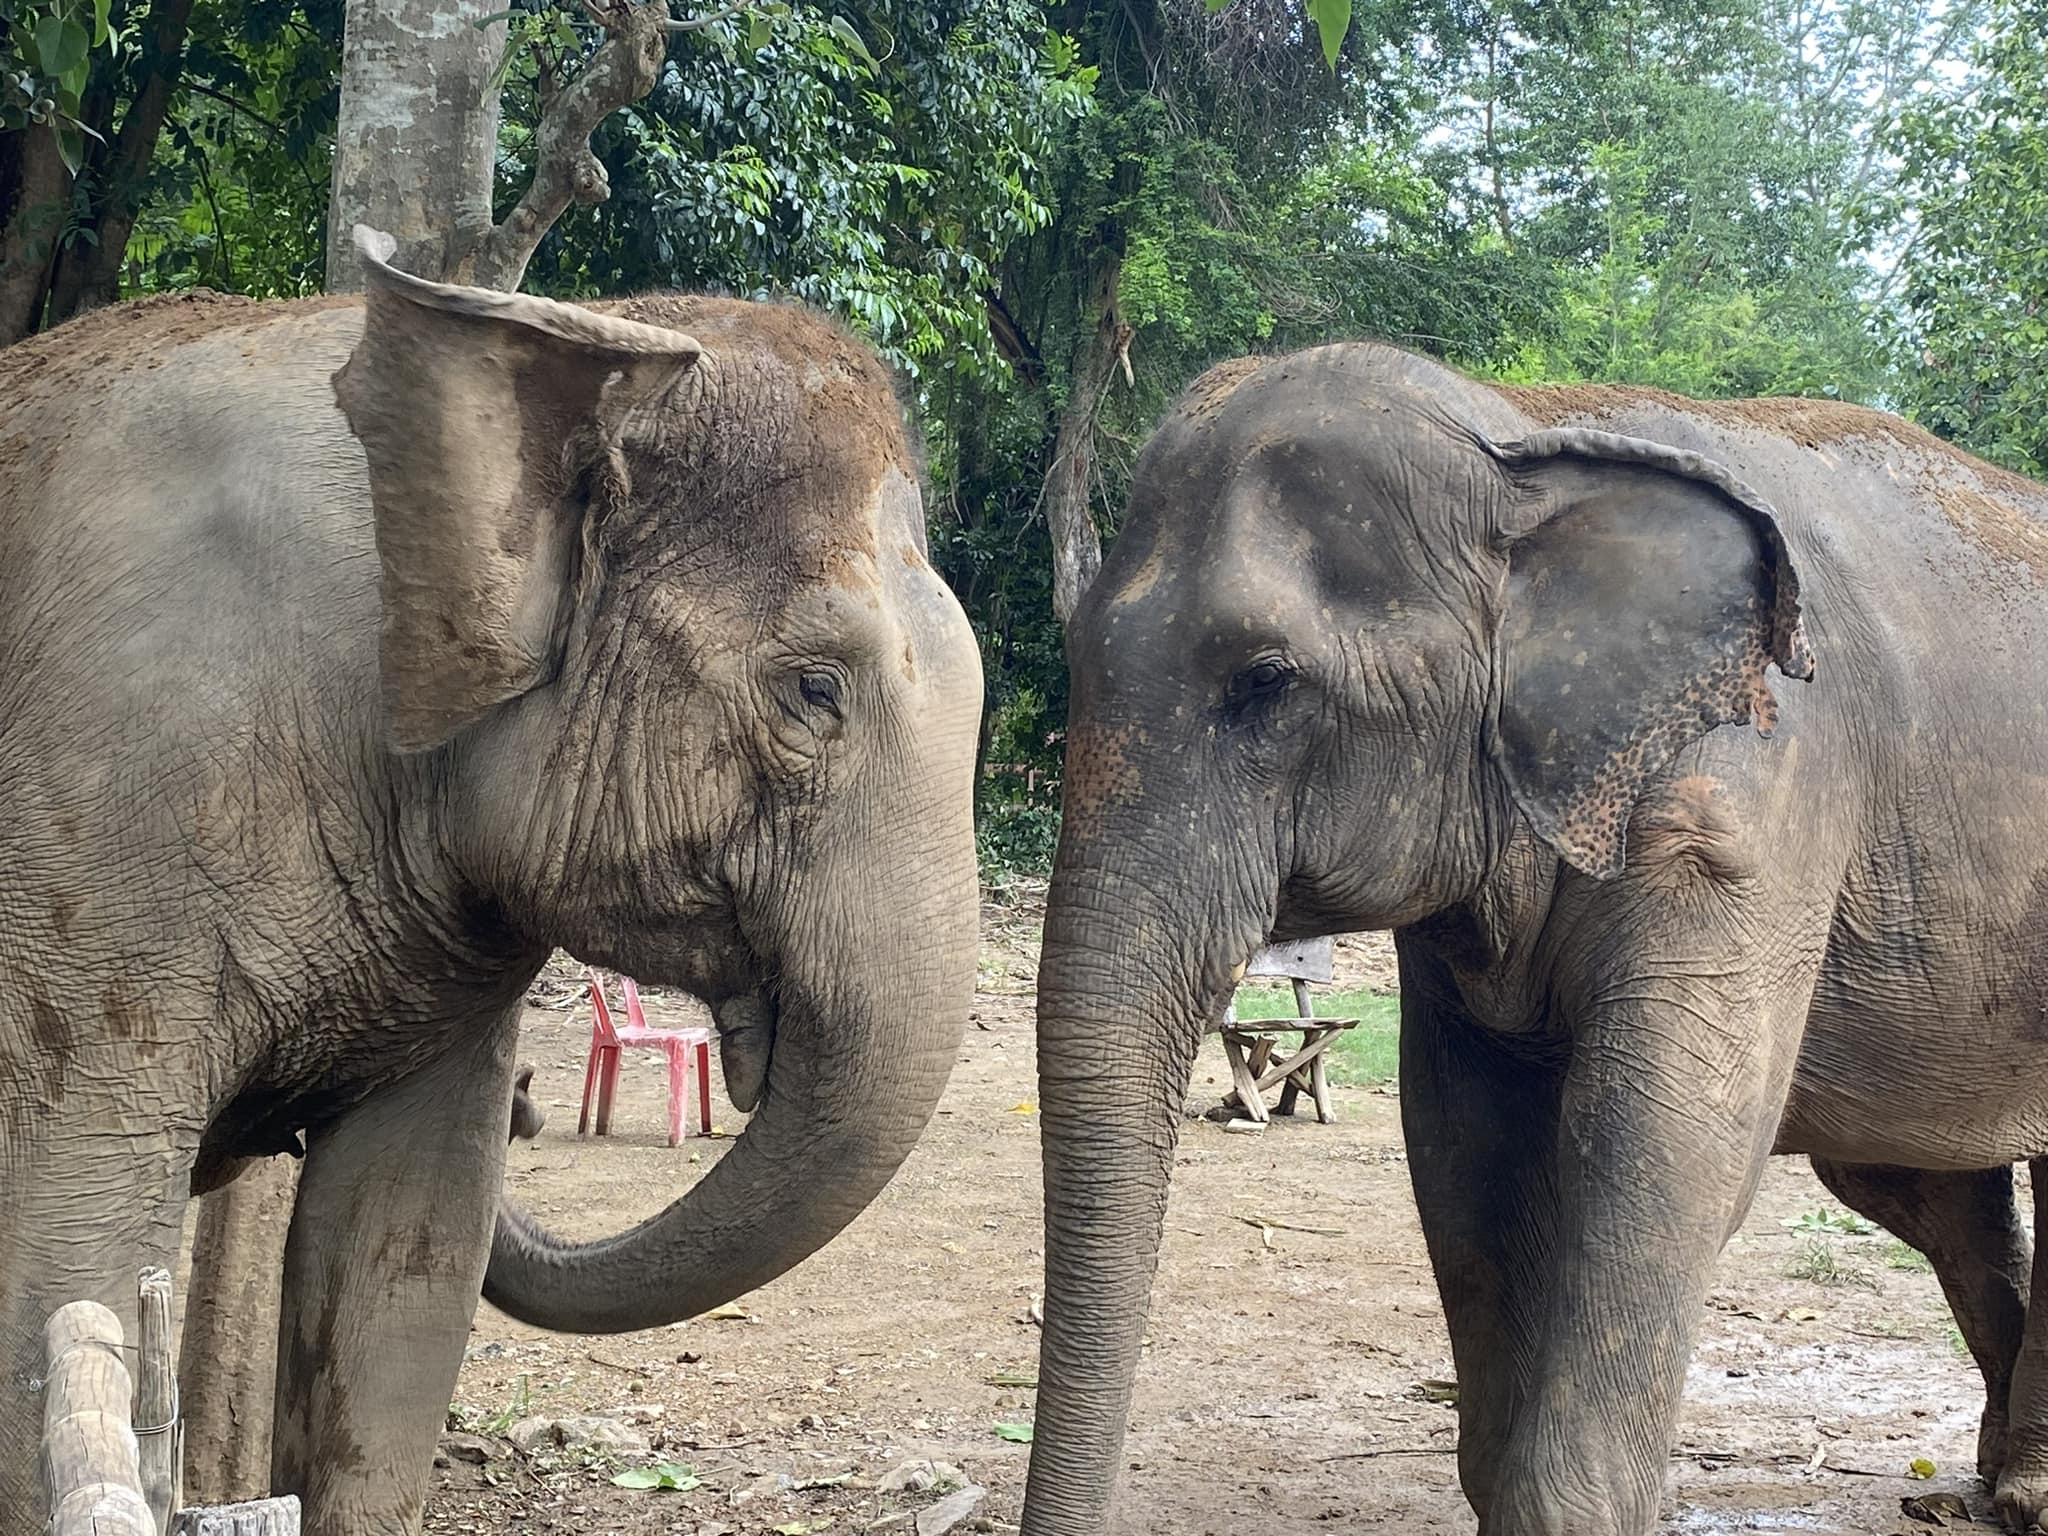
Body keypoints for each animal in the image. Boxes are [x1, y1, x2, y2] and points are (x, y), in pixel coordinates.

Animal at [1022, 341, 2048, 1535]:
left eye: (1264, 681)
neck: (1519, 439)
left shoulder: (1749, 801)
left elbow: (1658, 1151)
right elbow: (1467, 1144)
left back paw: (2022, 1493)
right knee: (1915, 1185)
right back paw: (1995, 1479)